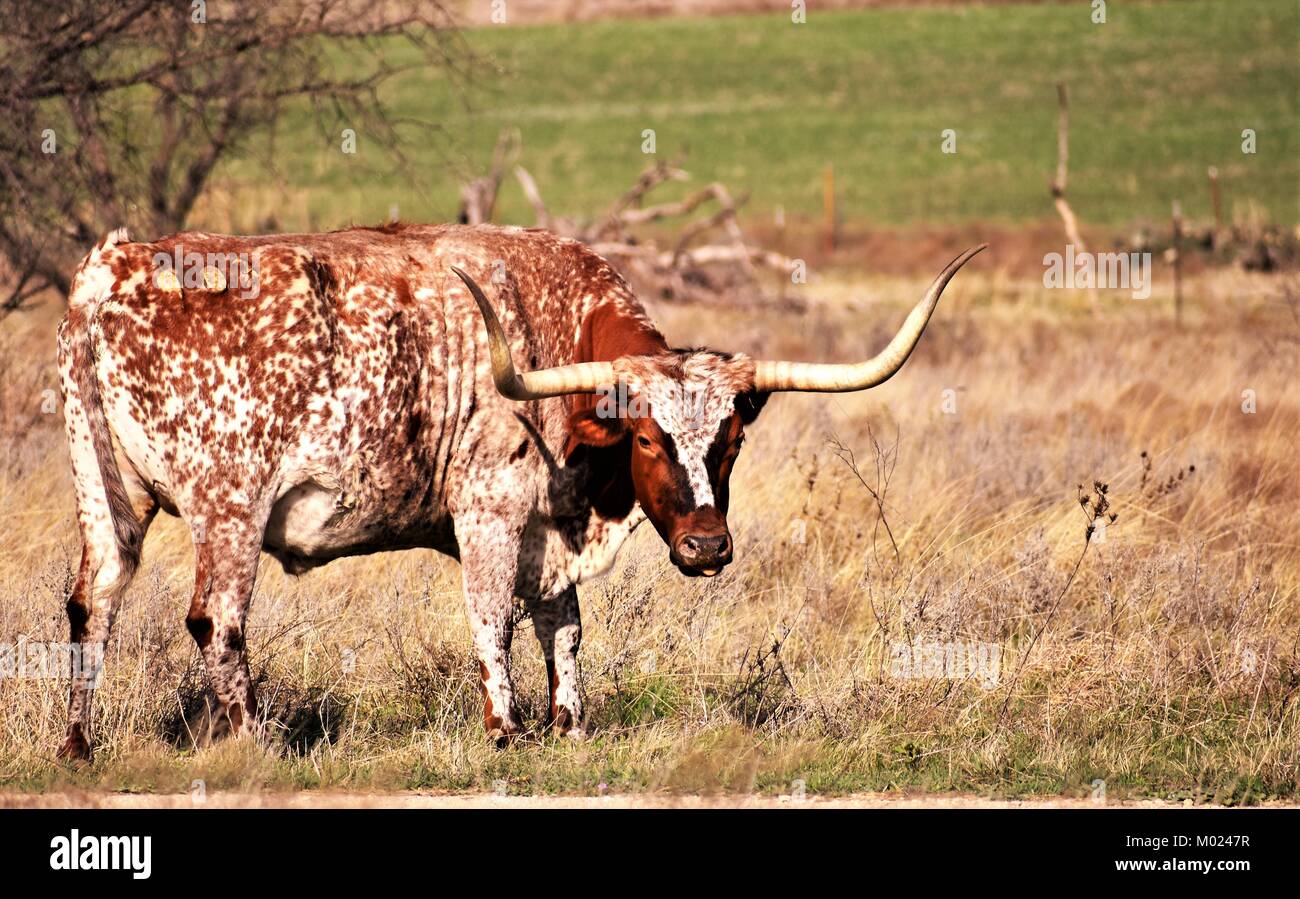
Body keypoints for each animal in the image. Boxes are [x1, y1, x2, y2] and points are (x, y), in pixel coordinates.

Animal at [55, 222, 984, 759]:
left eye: (731, 440)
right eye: (648, 437)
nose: (706, 546)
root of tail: (114, 265)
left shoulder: (549, 525)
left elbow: (562, 626)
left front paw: (570, 721)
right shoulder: (490, 510)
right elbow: (492, 615)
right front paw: (505, 729)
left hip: (107, 495)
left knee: (92, 603)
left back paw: (78, 745)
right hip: (231, 505)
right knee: (217, 619)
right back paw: (253, 746)